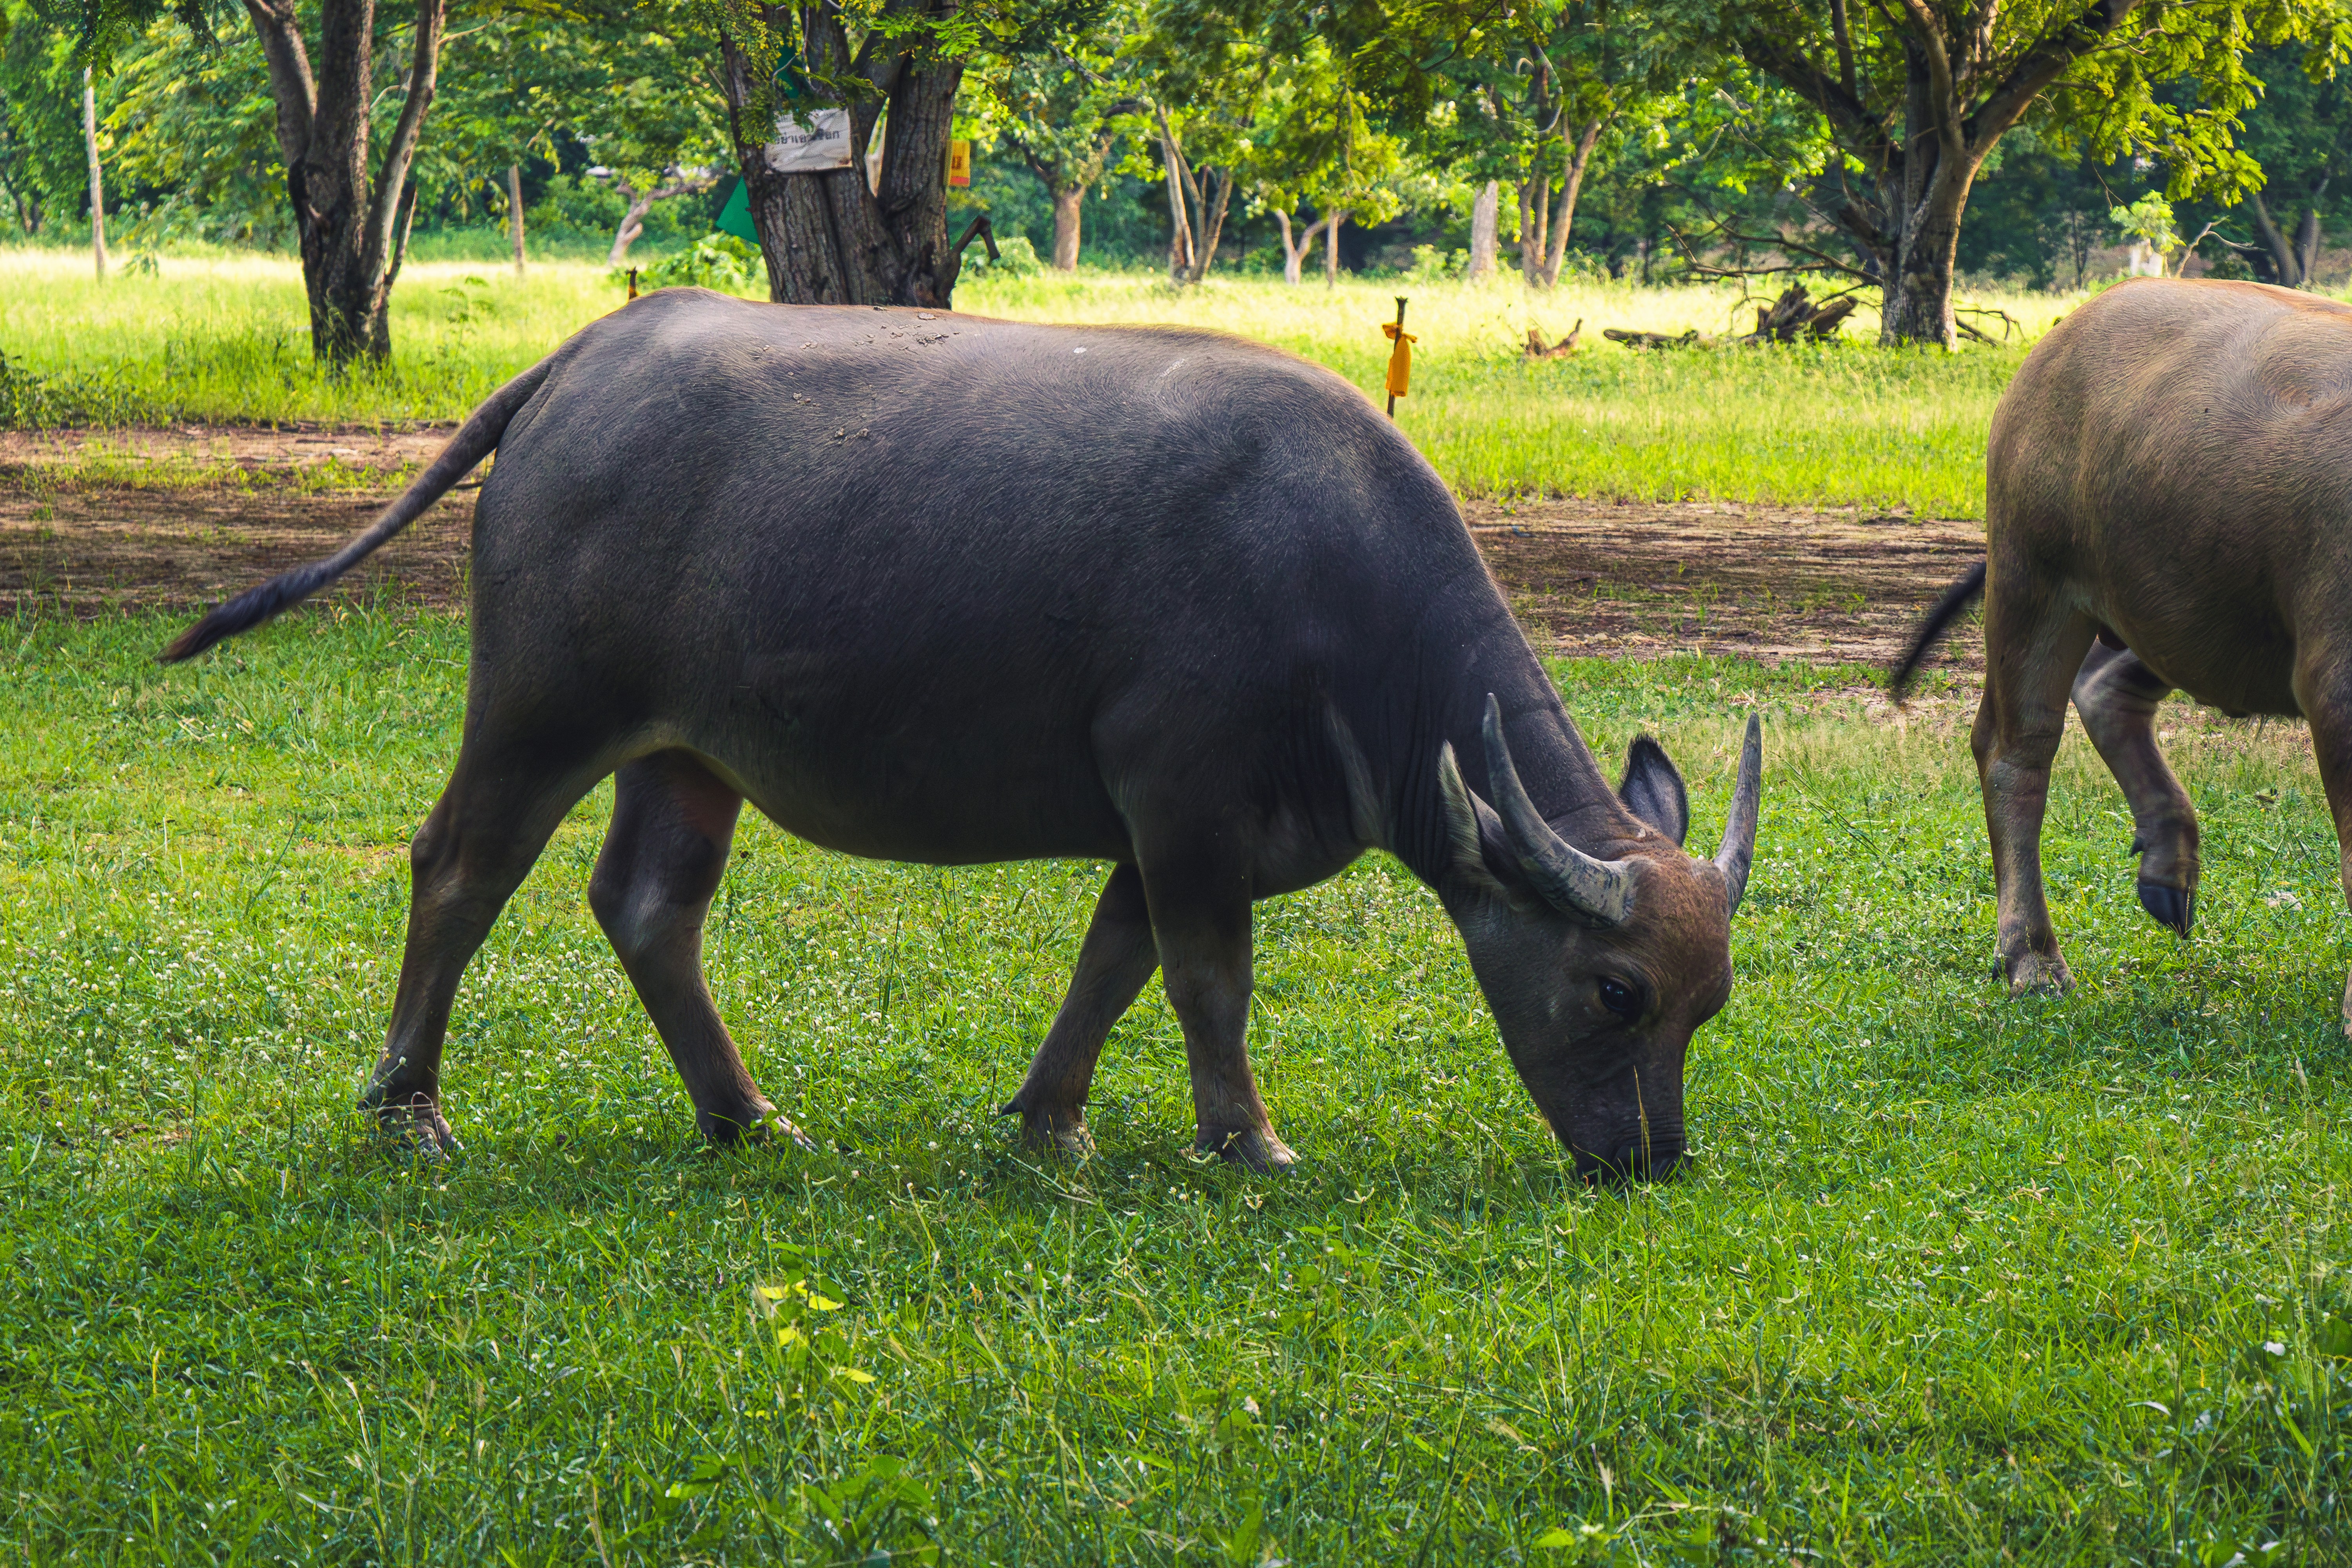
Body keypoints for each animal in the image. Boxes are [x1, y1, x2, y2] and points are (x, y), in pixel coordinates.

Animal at [165, 288, 1763, 1176]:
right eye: (1615, 989)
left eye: (1711, 1003)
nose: (1649, 1161)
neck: (1349, 614)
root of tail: (584, 359)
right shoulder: (1184, 802)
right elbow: (1206, 981)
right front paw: (1246, 1138)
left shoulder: (1161, 826)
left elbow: (1114, 962)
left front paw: (1050, 1119)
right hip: (542, 706)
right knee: (461, 867)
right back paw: (409, 1111)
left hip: (689, 751)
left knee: (647, 905)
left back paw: (746, 1115)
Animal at [1896, 277, 2352, 1026]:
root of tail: (2062, 337)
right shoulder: (2335, 679)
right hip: (2032, 576)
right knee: (2015, 750)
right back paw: (2033, 958)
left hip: (2181, 604)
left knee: (2107, 687)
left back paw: (2167, 866)